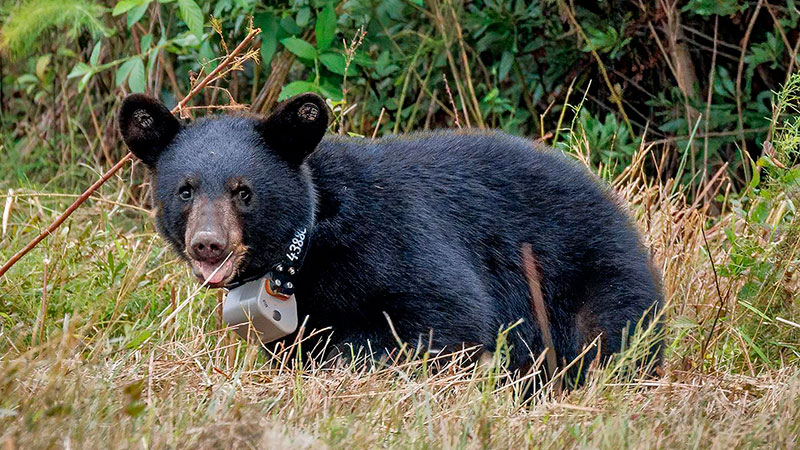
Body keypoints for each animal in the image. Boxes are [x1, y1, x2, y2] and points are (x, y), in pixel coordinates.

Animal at [118, 92, 662, 383]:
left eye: (243, 192)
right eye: (185, 190)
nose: (208, 244)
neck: (311, 243)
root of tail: (619, 208)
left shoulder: (392, 238)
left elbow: (451, 314)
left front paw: (346, 358)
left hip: (595, 272)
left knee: (612, 334)